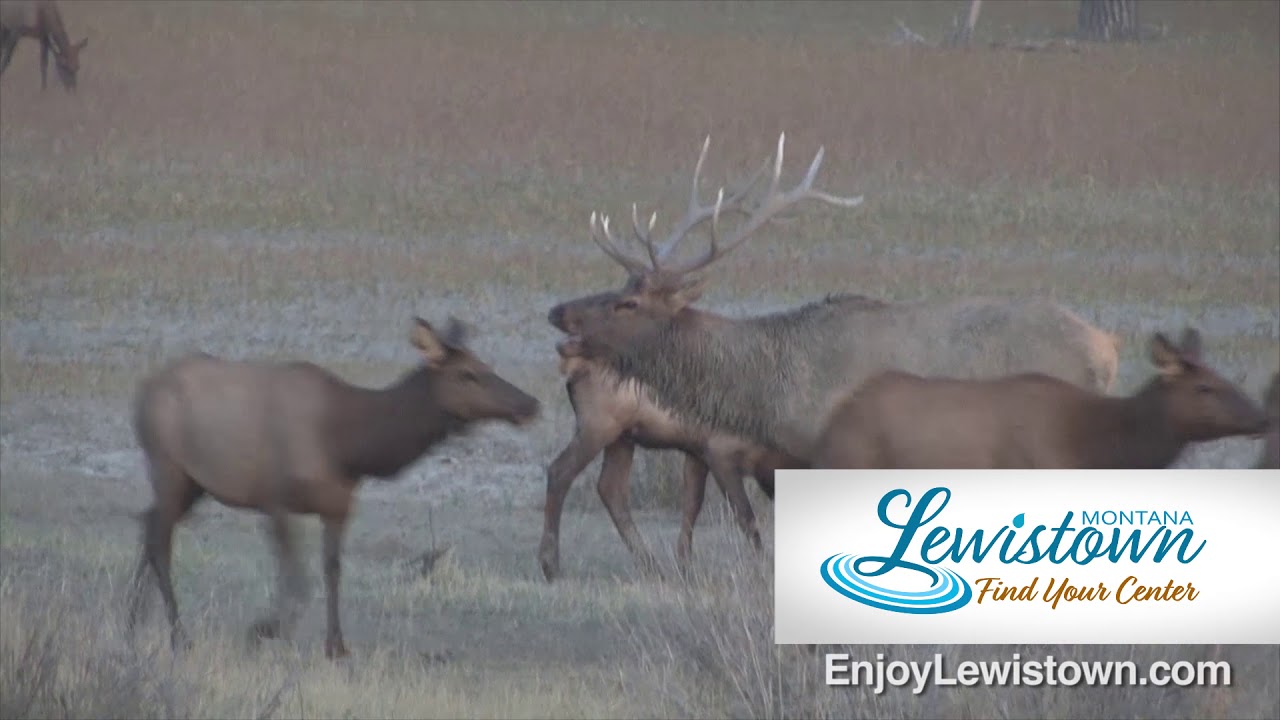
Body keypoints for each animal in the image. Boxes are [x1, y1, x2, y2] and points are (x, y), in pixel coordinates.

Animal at [125, 316, 541, 660]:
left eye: (488, 366)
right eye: (468, 374)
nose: (531, 403)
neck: (349, 445)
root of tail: (142, 394)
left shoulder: (339, 506)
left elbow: (332, 569)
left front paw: (336, 645)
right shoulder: (274, 499)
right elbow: (298, 577)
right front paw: (263, 629)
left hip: (194, 484)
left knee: (148, 523)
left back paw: (132, 619)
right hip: (168, 467)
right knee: (160, 540)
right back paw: (178, 636)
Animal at [541, 333, 803, 582]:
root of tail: (567, 353)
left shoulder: (698, 451)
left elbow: (692, 505)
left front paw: (685, 567)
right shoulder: (719, 451)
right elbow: (745, 516)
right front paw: (766, 566)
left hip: (622, 436)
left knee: (610, 487)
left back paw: (652, 567)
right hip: (598, 426)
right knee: (559, 471)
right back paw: (550, 566)